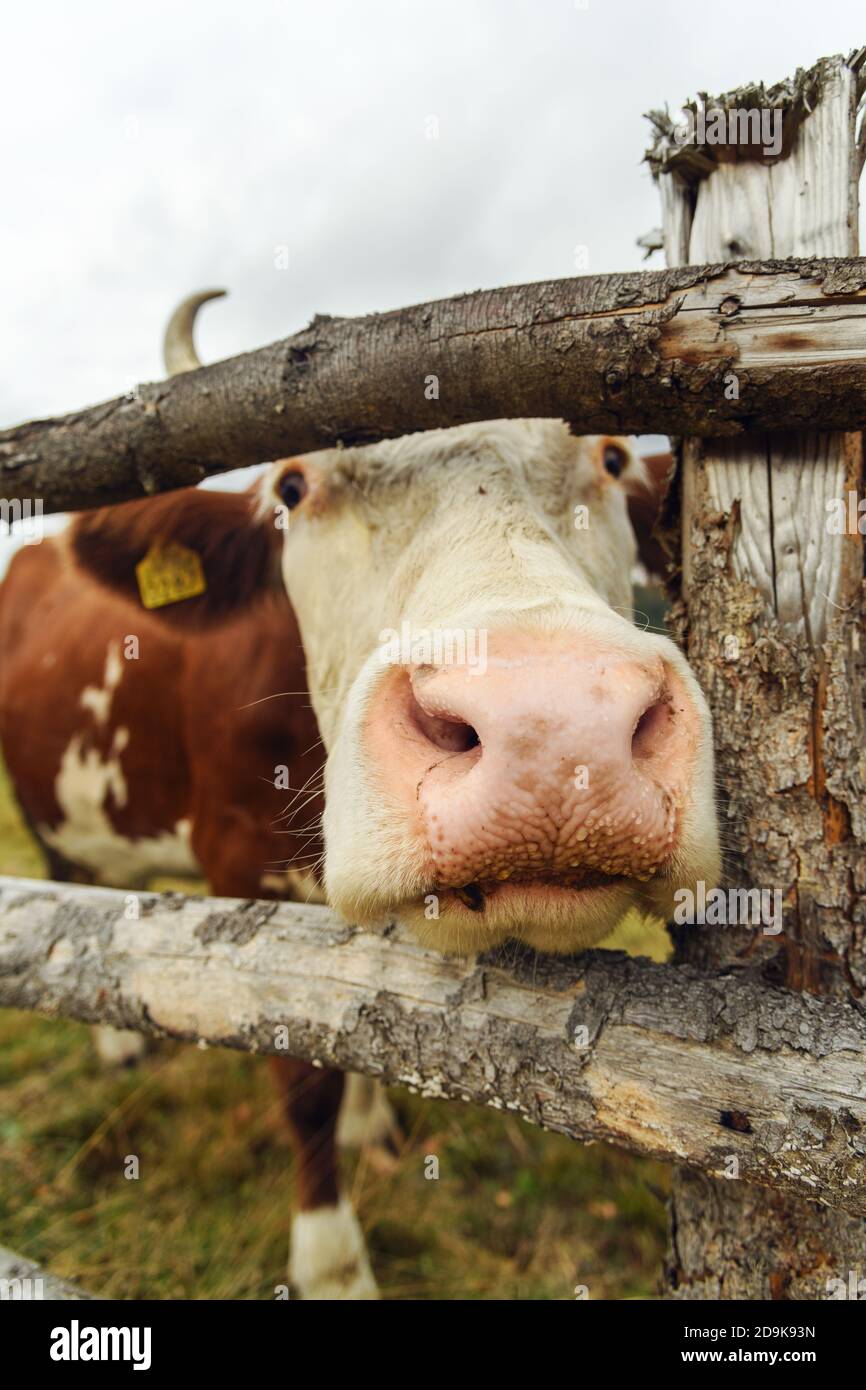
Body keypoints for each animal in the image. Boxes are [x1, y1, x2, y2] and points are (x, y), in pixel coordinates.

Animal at [1, 293, 720, 1299]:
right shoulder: (240, 863)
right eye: (292, 488)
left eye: (613, 459)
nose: (552, 729)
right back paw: (119, 1046)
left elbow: (349, 1010)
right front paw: (333, 1262)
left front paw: (369, 1123)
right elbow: (301, 1080)